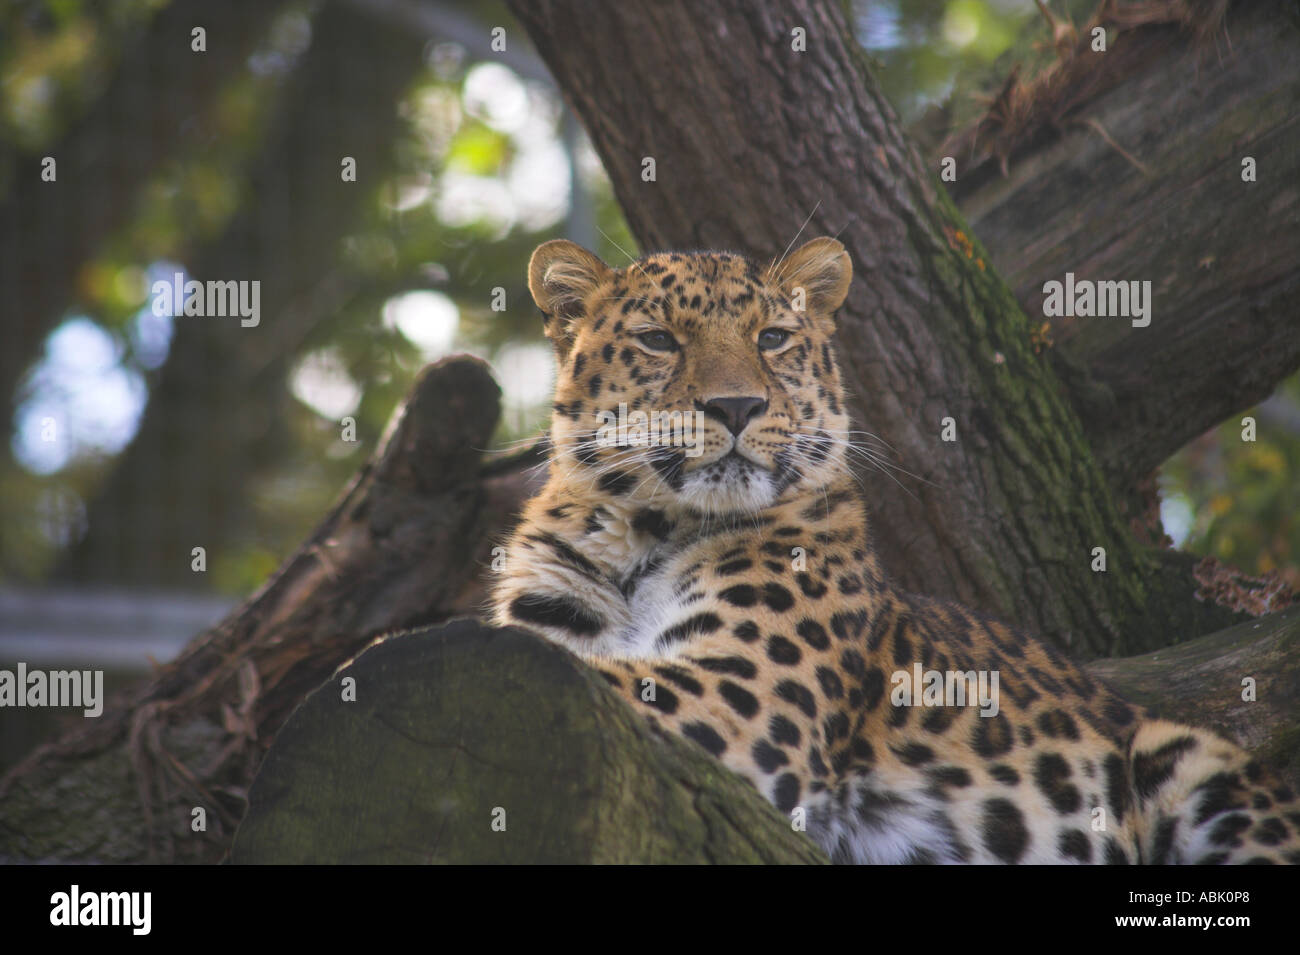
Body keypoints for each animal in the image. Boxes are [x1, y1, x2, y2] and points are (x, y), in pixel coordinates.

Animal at [489, 235, 1300, 864]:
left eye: (772, 339)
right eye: (658, 339)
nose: (737, 406)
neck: (642, 535)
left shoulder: (740, 694)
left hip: (1185, 757)